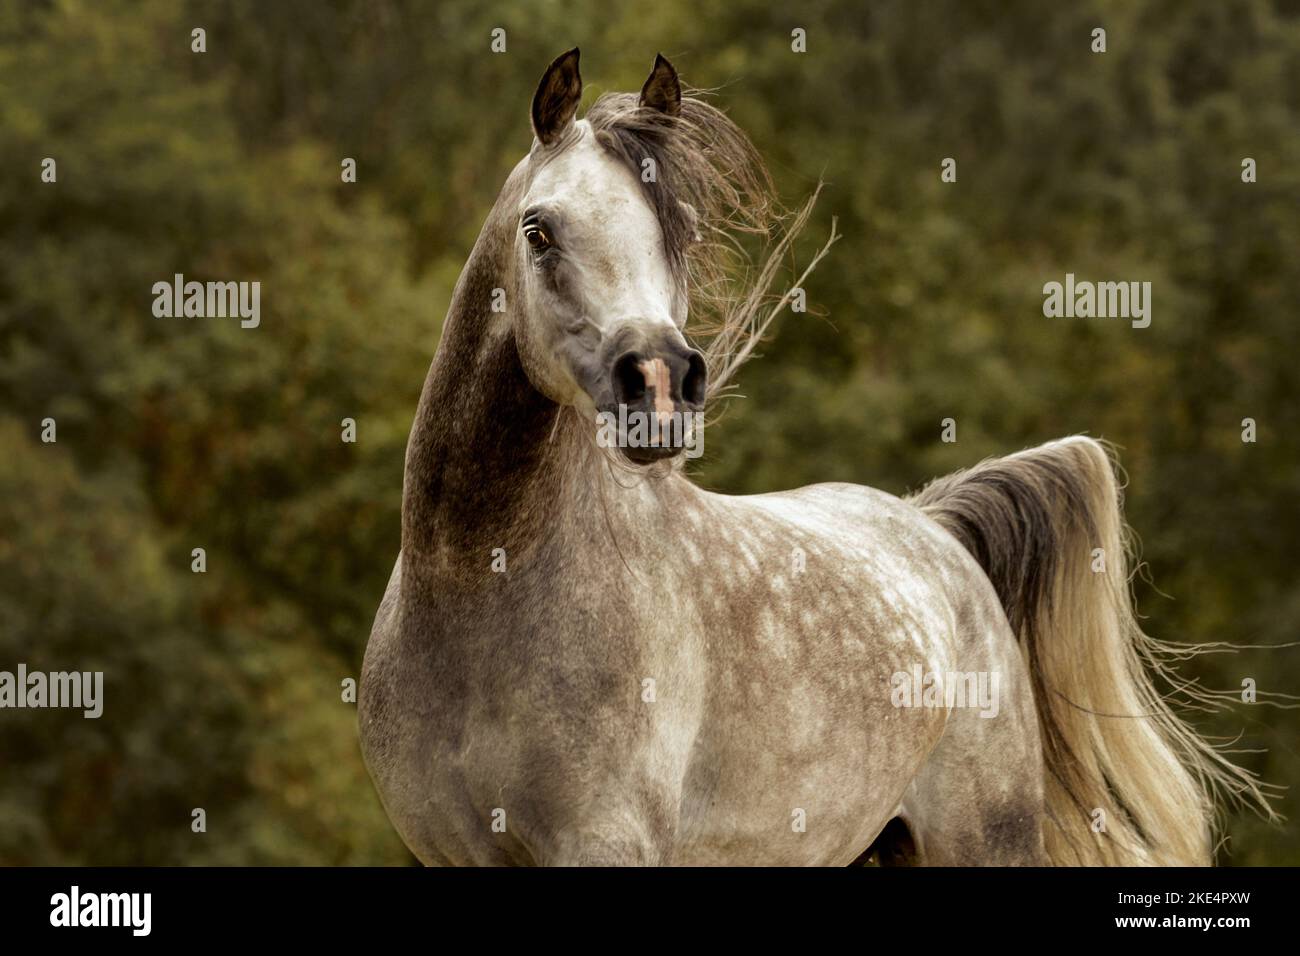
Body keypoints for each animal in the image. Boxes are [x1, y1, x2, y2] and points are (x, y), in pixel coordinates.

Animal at [358, 48, 1267, 865]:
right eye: (539, 230)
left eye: (678, 233)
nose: (661, 386)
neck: (478, 585)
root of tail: (934, 530)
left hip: (979, 844)